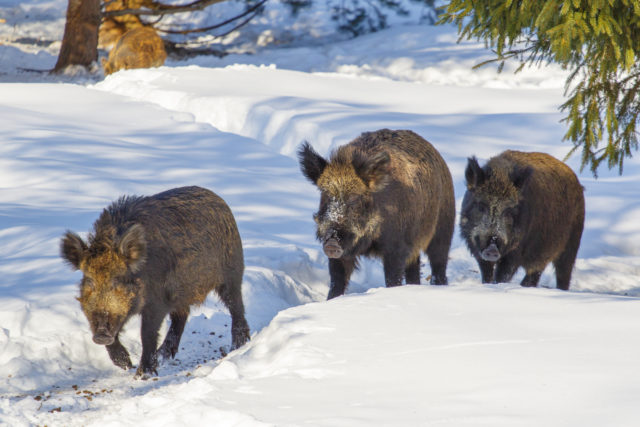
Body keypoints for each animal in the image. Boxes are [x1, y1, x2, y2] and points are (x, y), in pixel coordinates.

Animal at [61, 186, 250, 377]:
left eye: (118, 279)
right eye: (89, 280)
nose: (100, 334)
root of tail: (219, 199)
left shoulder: (157, 302)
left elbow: (147, 334)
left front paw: (142, 373)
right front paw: (126, 364)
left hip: (232, 272)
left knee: (236, 306)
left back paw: (237, 346)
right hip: (181, 293)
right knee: (181, 316)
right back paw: (163, 356)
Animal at [298, 129, 455, 299]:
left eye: (354, 198)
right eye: (325, 194)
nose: (331, 243)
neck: (369, 240)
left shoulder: (396, 248)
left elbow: (393, 279)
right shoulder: (342, 254)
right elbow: (337, 282)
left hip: (443, 228)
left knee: (439, 263)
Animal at [460, 150, 585, 290]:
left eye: (508, 211)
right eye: (481, 206)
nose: (492, 248)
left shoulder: (516, 251)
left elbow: (503, 275)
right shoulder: (476, 249)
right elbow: (486, 274)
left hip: (572, 242)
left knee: (563, 272)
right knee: (534, 274)